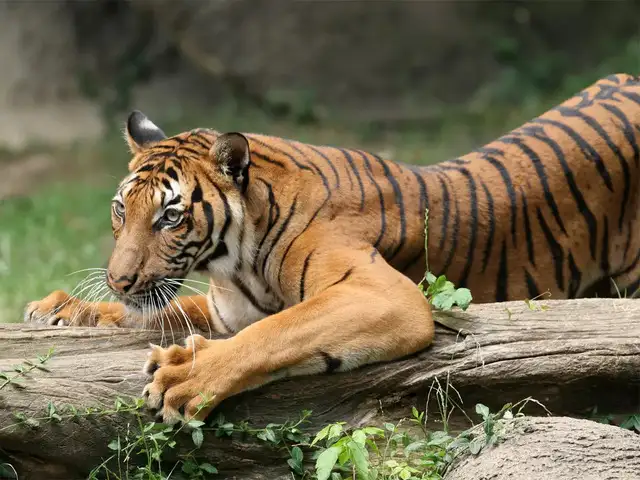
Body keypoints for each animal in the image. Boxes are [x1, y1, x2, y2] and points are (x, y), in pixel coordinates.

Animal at [24, 73, 640, 424]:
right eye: (121, 210)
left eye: (170, 216)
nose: (119, 280)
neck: (233, 260)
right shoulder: (224, 307)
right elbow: (165, 311)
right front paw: (63, 310)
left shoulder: (381, 293)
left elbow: (276, 332)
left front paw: (184, 377)